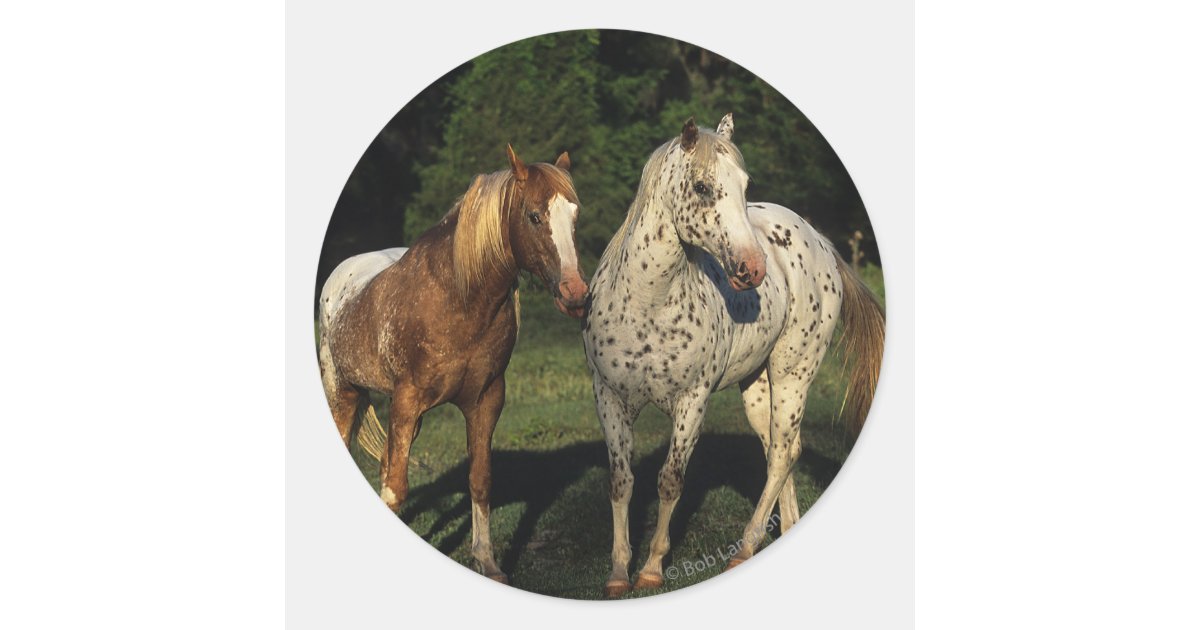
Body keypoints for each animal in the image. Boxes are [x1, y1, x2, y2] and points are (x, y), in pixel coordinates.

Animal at [318, 145, 588, 584]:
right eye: (534, 216)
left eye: (575, 216)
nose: (576, 293)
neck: (458, 299)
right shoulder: (407, 402)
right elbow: (397, 487)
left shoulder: (485, 401)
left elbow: (480, 480)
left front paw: (487, 562)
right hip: (343, 393)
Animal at [581, 114, 885, 597]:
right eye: (702, 187)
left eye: (745, 184)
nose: (752, 268)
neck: (647, 302)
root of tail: (818, 240)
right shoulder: (608, 397)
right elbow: (621, 482)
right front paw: (617, 573)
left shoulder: (692, 402)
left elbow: (670, 481)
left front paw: (651, 569)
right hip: (756, 388)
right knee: (783, 449)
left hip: (792, 374)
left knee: (781, 454)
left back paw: (744, 548)